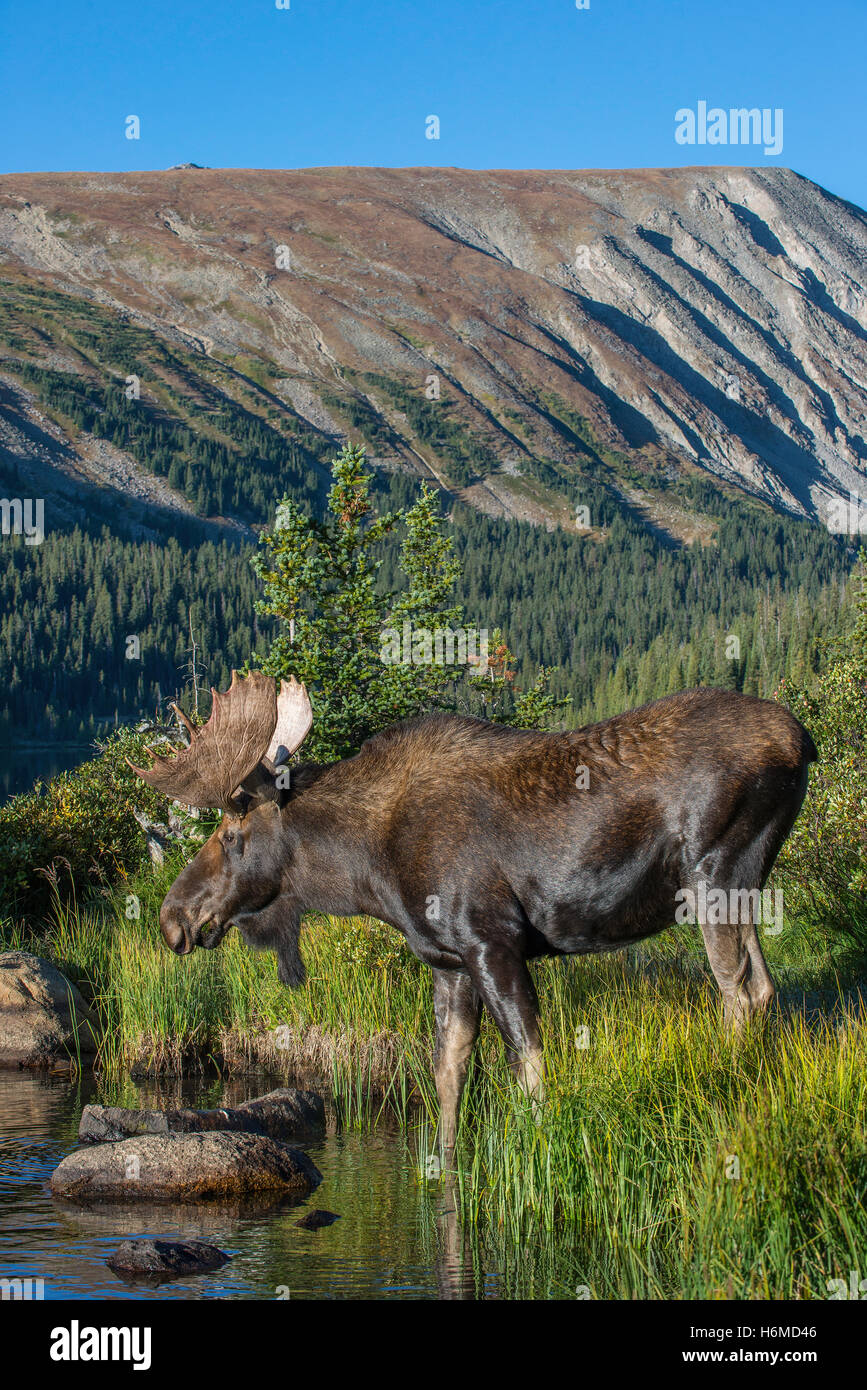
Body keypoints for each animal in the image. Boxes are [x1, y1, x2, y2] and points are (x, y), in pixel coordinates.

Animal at [131, 671, 816, 1150]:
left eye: (231, 833)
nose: (173, 918)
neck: (368, 871)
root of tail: (802, 741)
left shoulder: (492, 939)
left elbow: (530, 1064)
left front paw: (539, 1147)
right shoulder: (447, 960)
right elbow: (449, 1075)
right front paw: (446, 1161)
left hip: (713, 875)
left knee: (737, 991)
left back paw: (725, 1090)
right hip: (748, 884)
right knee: (764, 985)